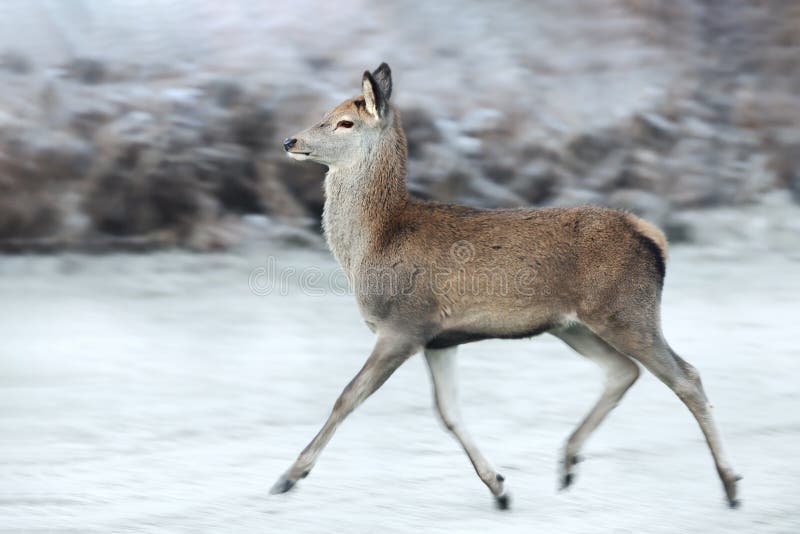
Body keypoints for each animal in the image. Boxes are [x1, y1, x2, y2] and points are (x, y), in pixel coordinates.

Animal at [271, 62, 741, 509]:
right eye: (326, 113)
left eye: (345, 122)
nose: (290, 141)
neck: (373, 243)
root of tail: (652, 237)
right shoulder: (438, 338)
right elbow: (448, 413)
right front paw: (498, 487)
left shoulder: (403, 324)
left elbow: (348, 396)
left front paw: (289, 476)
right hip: (573, 325)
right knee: (623, 371)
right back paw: (568, 463)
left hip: (626, 310)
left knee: (686, 377)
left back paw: (731, 485)